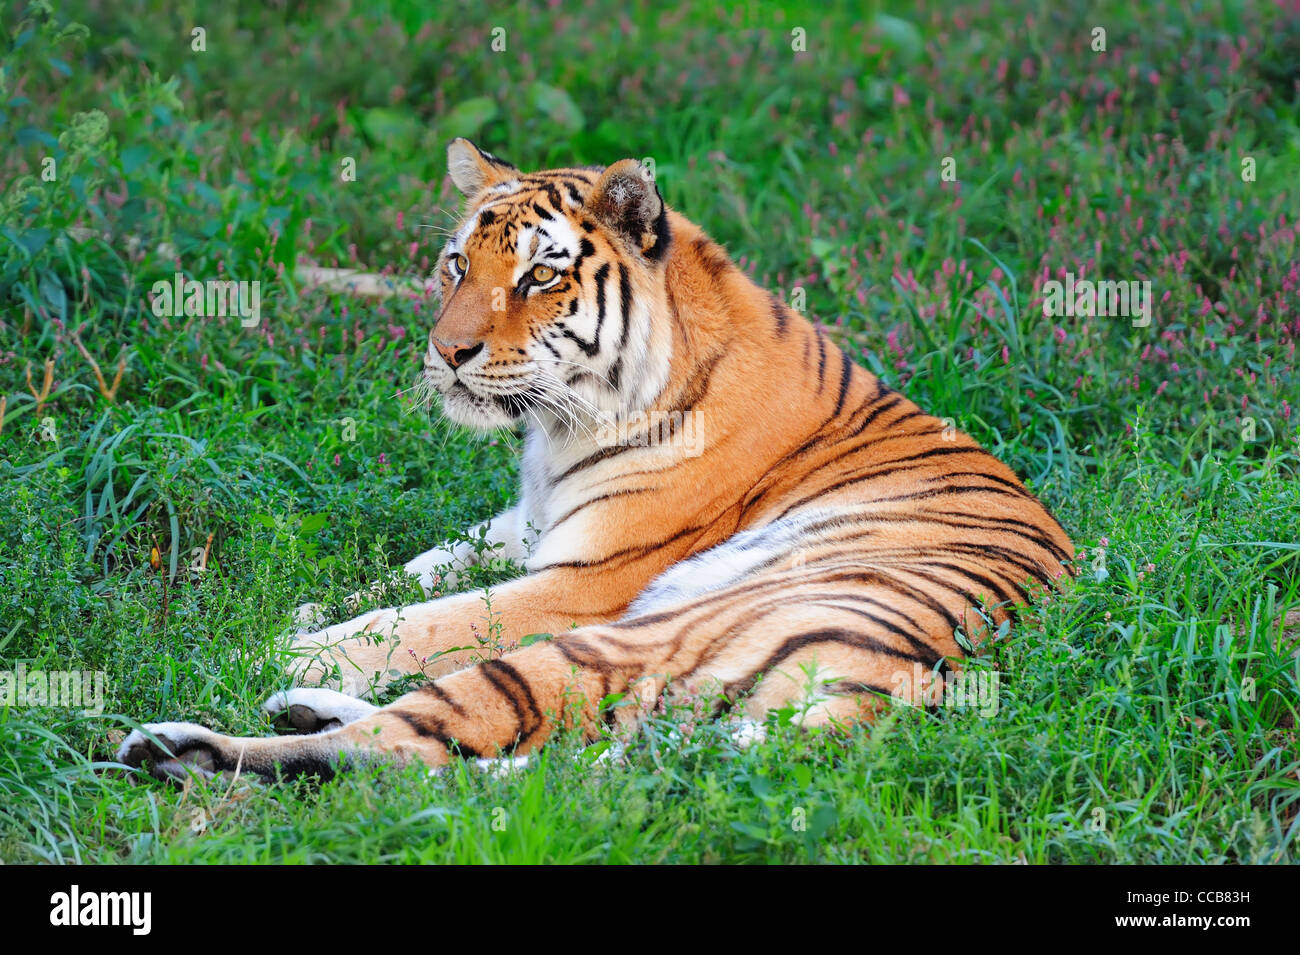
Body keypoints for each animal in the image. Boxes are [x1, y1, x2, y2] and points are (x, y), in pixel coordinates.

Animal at [118, 138, 1074, 781]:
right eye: (457, 264)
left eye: (540, 276)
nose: (446, 352)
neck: (559, 426)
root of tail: (868, 701)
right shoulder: (524, 521)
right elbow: (411, 573)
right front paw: (308, 609)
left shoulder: (581, 577)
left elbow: (414, 623)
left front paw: (272, 644)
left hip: (620, 639)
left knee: (410, 748)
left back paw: (179, 744)